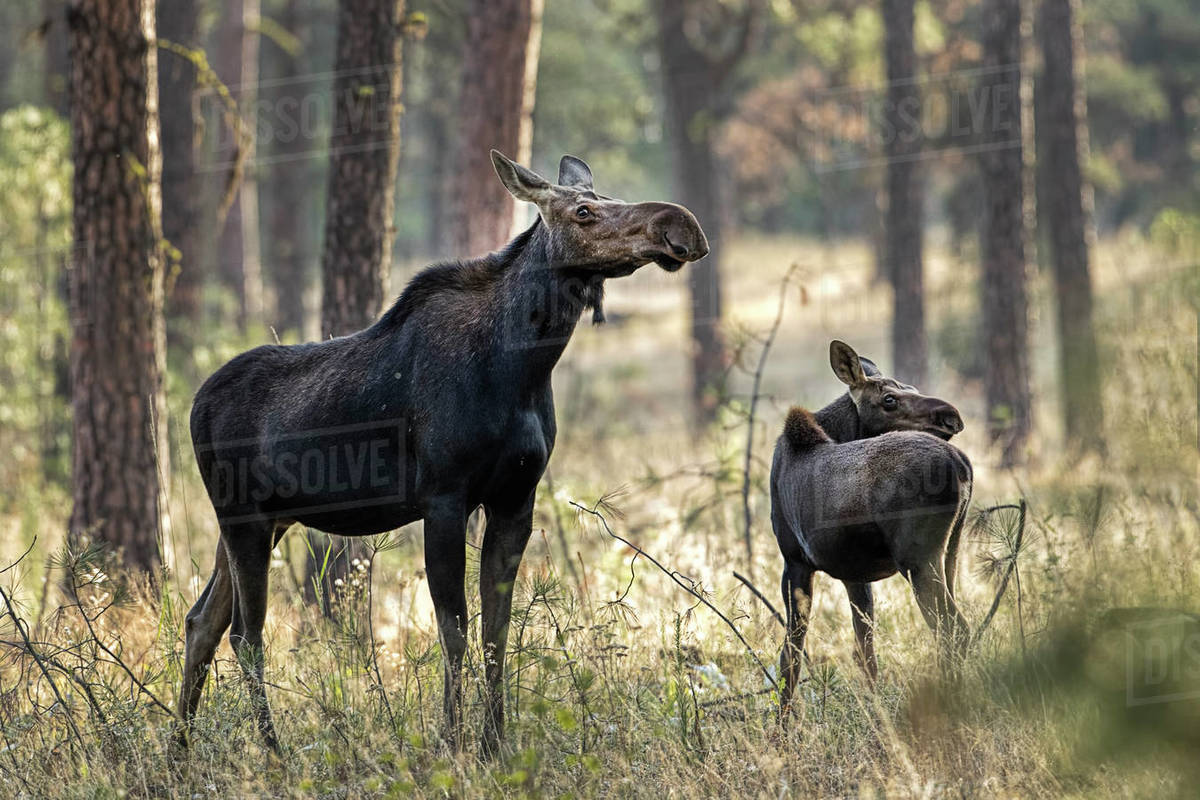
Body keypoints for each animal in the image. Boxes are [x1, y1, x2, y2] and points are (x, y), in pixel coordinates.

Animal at [177, 151, 708, 756]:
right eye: (583, 211)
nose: (680, 226)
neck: (523, 365)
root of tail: (194, 406)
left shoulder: (514, 499)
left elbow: (496, 631)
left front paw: (495, 744)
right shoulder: (445, 498)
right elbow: (454, 631)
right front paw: (451, 745)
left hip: (266, 521)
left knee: (201, 621)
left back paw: (180, 752)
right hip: (242, 517)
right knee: (246, 634)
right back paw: (273, 753)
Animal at [770, 340, 972, 712]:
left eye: (912, 389)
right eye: (890, 398)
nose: (951, 416)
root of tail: (963, 465)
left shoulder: (794, 561)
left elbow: (790, 657)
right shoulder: (853, 572)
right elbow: (866, 655)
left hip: (918, 559)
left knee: (954, 631)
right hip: (950, 551)